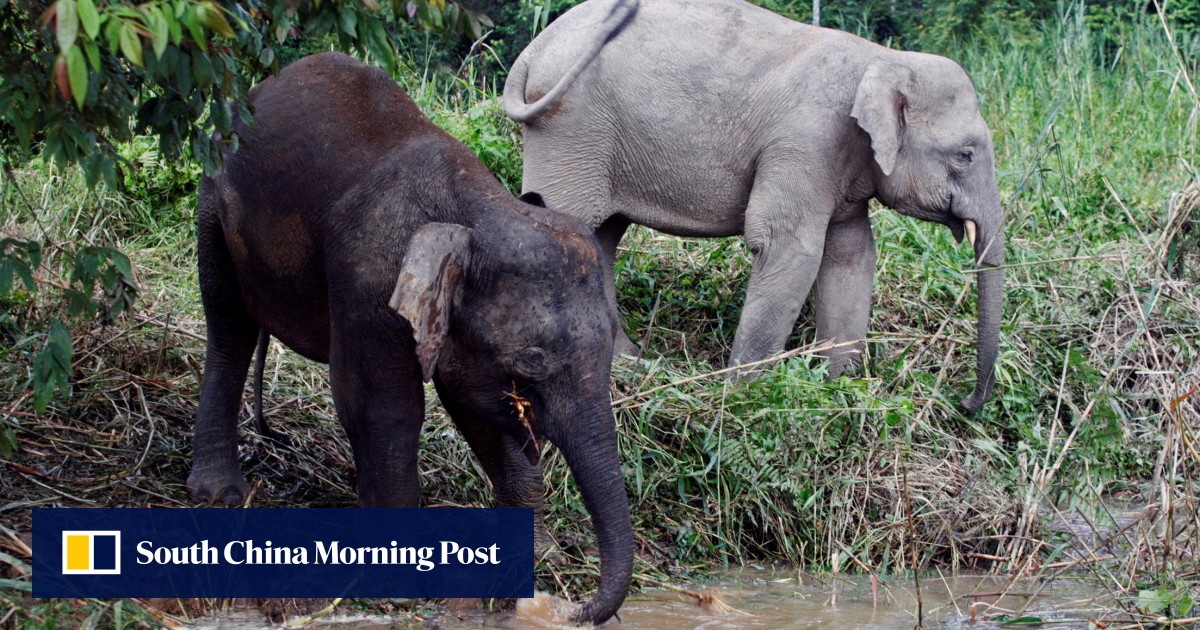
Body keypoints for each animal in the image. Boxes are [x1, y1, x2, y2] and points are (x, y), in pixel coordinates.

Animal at [187, 52, 631, 624]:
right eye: (532, 360)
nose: (574, 608)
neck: (477, 209)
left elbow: (477, 408)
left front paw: (521, 569)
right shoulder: (371, 282)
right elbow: (382, 407)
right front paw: (395, 585)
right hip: (213, 196)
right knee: (227, 320)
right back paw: (218, 493)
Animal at [503, 0, 1005, 412]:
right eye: (966, 155)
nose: (963, 402)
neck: (882, 57)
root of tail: (533, 50)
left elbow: (851, 254)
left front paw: (839, 389)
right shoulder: (807, 142)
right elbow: (788, 248)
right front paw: (747, 393)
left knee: (603, 235)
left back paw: (628, 363)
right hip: (572, 130)